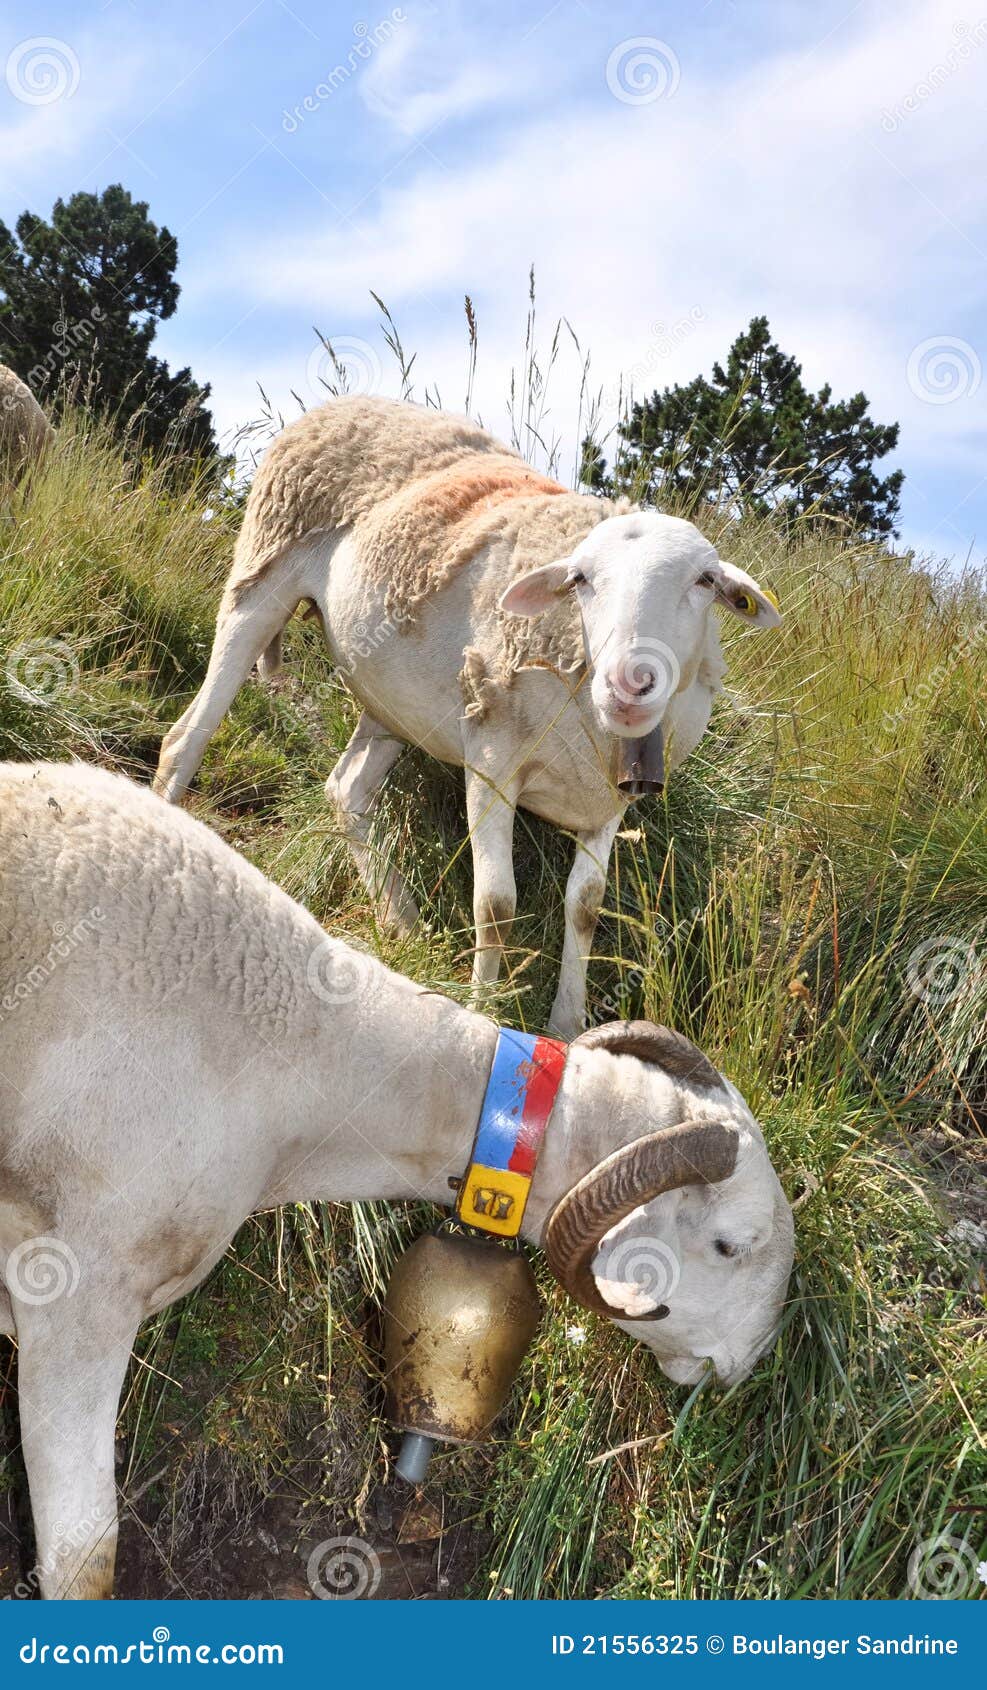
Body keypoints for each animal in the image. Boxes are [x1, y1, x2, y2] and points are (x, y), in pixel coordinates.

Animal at [154, 396, 782, 1038]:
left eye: (706, 581)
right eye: (579, 580)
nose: (630, 680)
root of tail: (346, 402)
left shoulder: (608, 801)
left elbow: (586, 906)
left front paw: (566, 1025)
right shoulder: (491, 761)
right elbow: (496, 906)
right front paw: (486, 1013)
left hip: (392, 698)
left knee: (346, 788)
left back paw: (403, 922)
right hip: (262, 576)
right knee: (186, 740)